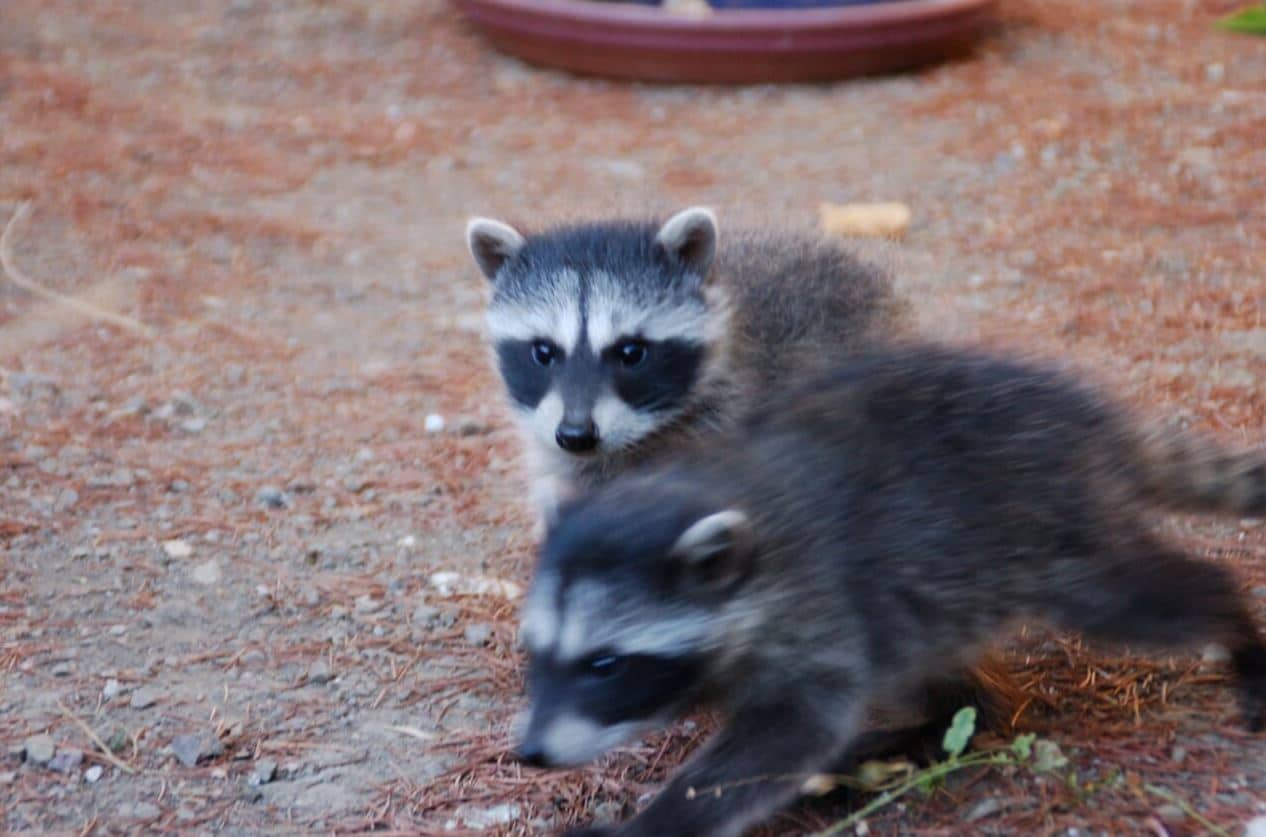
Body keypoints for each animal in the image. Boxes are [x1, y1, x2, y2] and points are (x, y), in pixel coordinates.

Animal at [519, 345, 1266, 837]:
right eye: (535, 654)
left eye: (604, 664)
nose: (529, 754)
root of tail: (1092, 423)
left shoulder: (815, 605)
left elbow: (787, 732)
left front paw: (655, 822)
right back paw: (934, 725)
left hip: (1055, 526)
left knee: (1129, 594)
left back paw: (1234, 622)